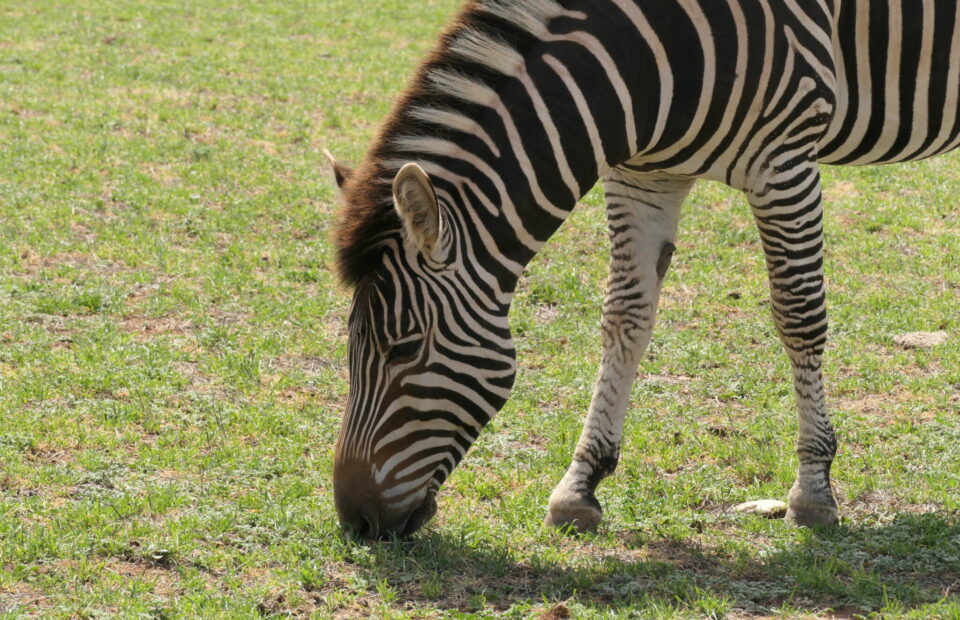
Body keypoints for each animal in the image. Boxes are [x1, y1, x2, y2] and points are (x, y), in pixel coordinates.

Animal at [328, 0, 959, 539]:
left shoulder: (785, 163)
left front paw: (812, 494)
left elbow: (799, 315)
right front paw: (579, 487)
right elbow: (625, 318)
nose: (356, 521)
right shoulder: (643, 174)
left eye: (403, 348)